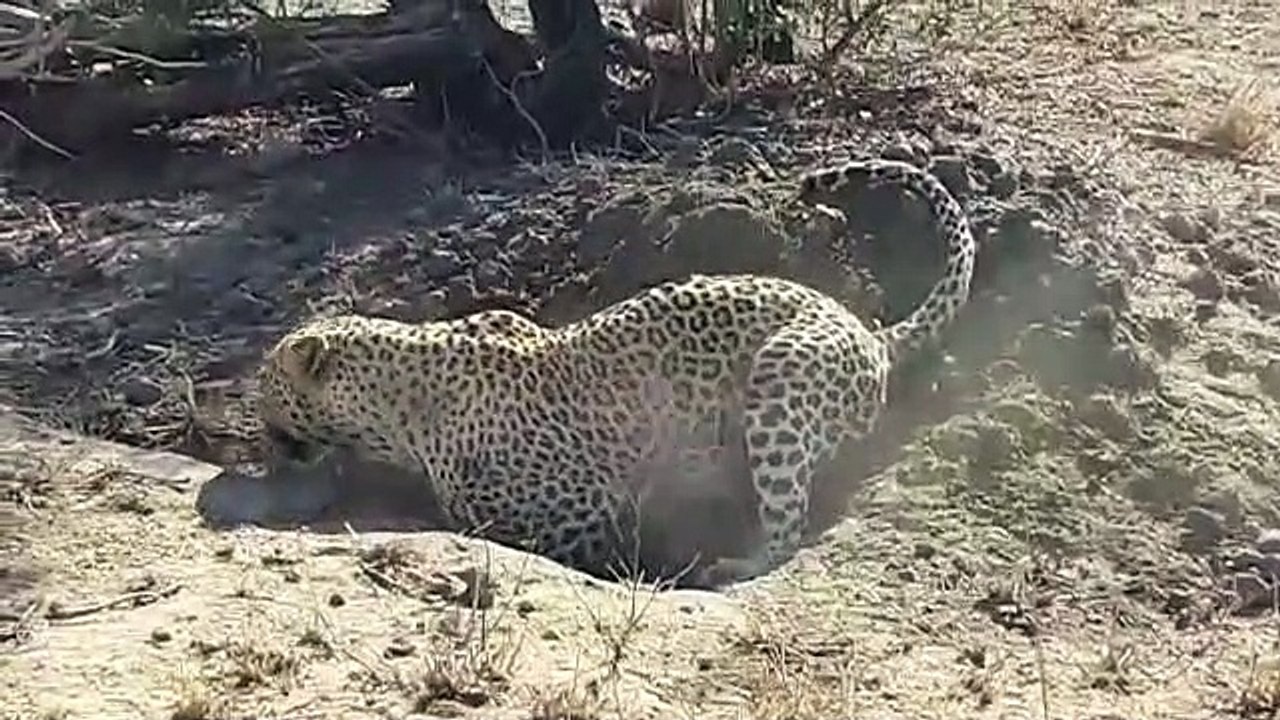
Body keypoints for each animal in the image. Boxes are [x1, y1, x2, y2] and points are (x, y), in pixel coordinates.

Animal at [254, 157, 977, 588]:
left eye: (265, 383)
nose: (258, 426)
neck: (397, 399)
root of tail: (870, 331)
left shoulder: (582, 510)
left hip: (782, 375)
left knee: (787, 528)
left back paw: (730, 563)